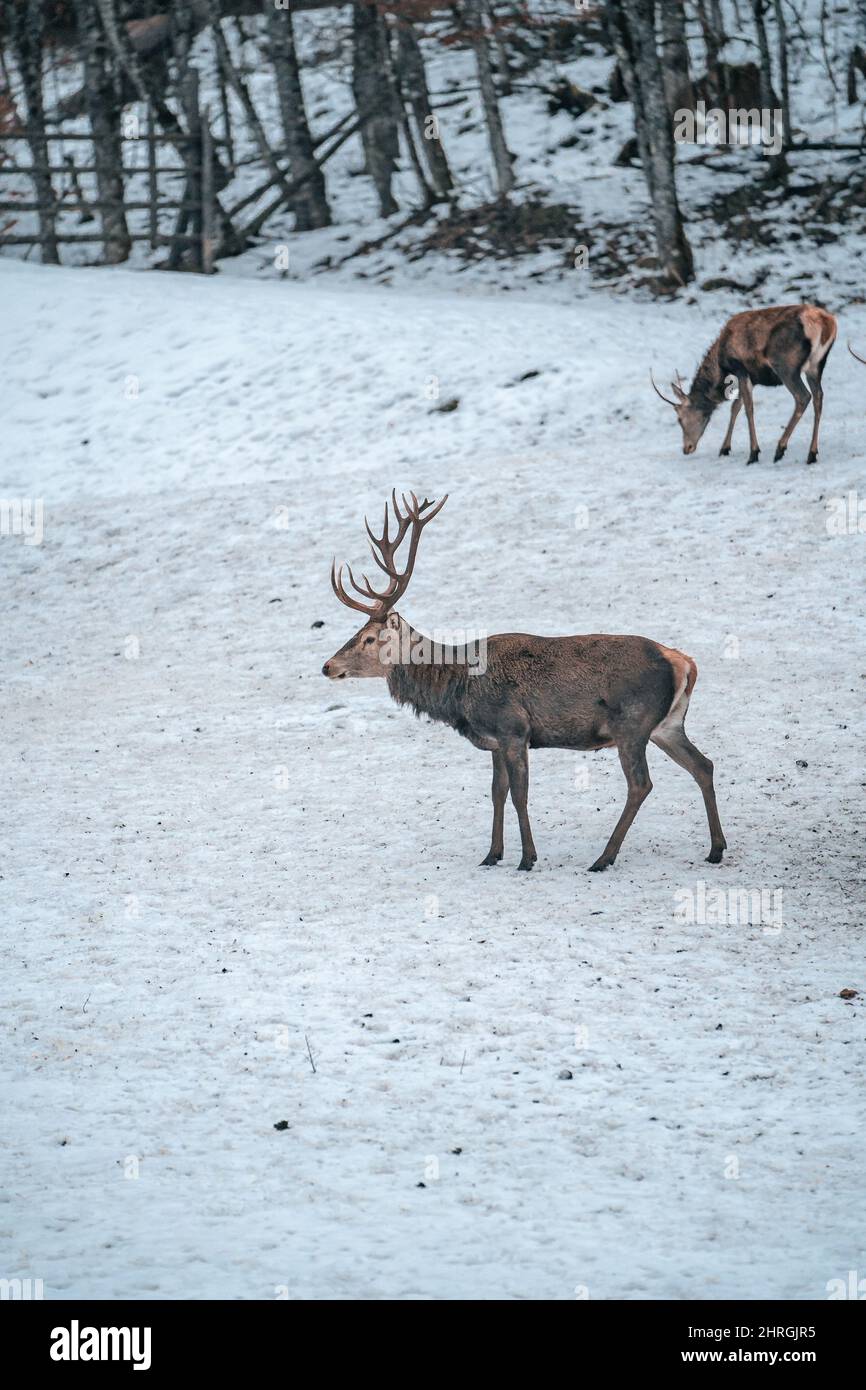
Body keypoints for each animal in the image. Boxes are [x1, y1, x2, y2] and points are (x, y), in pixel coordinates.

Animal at [322, 492, 727, 873]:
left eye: (368, 638)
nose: (327, 666)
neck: (458, 692)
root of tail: (683, 662)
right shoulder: (495, 741)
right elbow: (497, 792)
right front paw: (492, 855)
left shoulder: (513, 728)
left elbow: (519, 794)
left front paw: (527, 858)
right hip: (667, 725)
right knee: (703, 765)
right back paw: (715, 849)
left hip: (632, 722)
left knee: (641, 784)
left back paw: (603, 858)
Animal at [652, 304, 837, 464]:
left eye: (679, 418)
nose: (687, 448)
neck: (721, 364)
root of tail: (827, 323)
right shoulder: (752, 377)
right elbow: (736, 406)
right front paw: (725, 448)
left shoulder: (740, 368)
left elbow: (748, 408)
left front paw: (753, 453)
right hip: (816, 365)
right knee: (818, 397)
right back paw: (812, 453)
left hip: (786, 365)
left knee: (803, 396)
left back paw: (780, 448)